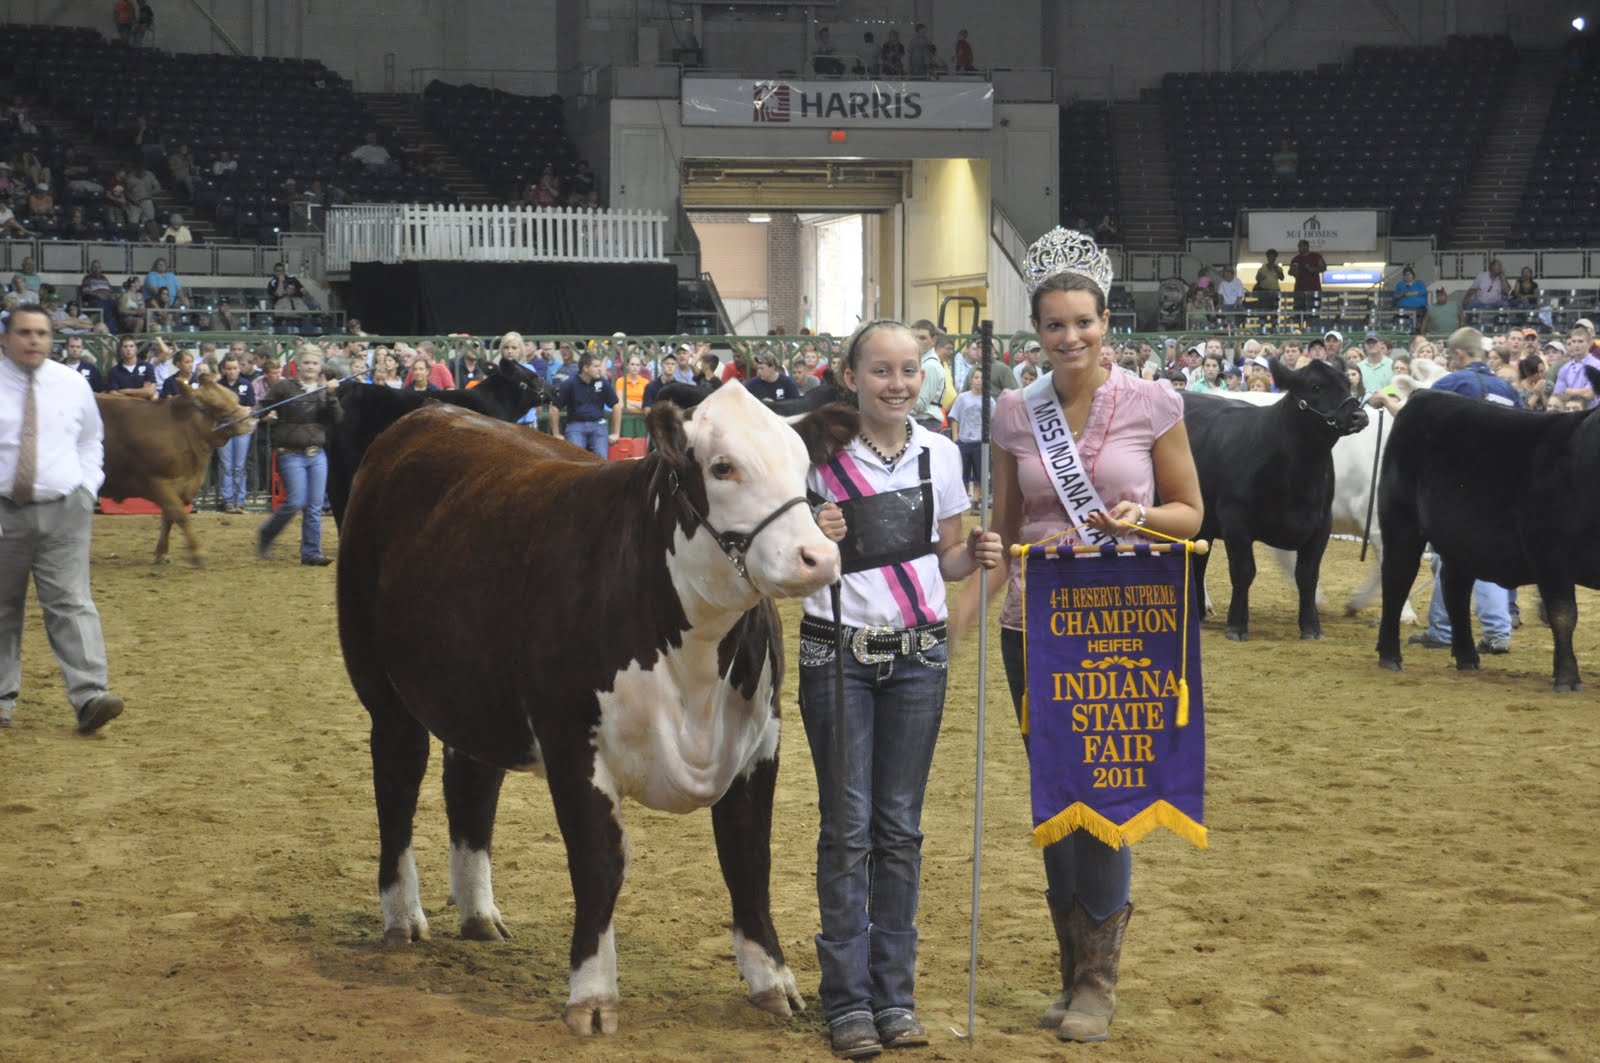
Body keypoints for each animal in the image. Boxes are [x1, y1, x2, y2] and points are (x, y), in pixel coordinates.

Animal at [97, 377, 255, 565]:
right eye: (215, 405)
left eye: (234, 397)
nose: (251, 419)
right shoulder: (155, 482)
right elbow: (180, 515)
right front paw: (198, 553)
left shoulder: (178, 484)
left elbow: (169, 518)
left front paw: (162, 553)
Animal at [336, 382, 857, 1035]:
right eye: (722, 467)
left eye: (804, 463)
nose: (819, 557)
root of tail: (430, 413)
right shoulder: (572, 739)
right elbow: (599, 861)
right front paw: (591, 996)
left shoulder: (760, 742)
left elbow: (748, 860)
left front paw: (773, 982)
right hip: (381, 685)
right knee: (397, 782)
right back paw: (403, 917)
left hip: (475, 689)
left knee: (471, 782)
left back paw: (479, 914)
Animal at [1183, 357, 1369, 640]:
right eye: (1316, 386)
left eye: (1348, 383)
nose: (1359, 416)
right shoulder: (1234, 518)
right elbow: (1244, 571)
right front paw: (1236, 626)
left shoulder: (1321, 523)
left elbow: (1308, 576)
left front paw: (1311, 627)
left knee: (1198, 559)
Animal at [1376, 367, 1600, 691]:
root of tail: (1422, 394)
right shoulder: (1549, 550)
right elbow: (1564, 614)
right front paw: (1567, 676)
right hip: (1401, 522)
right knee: (1396, 579)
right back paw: (1390, 655)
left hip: (1461, 538)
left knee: (1454, 586)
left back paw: (1467, 657)